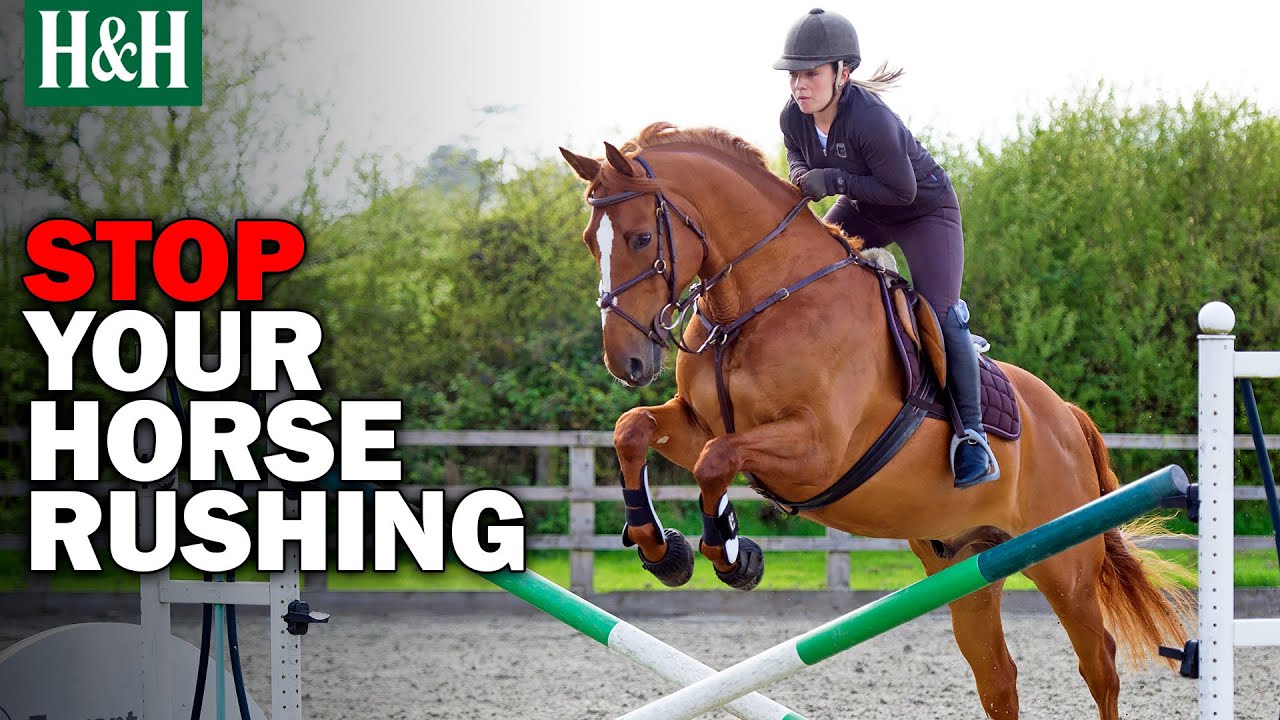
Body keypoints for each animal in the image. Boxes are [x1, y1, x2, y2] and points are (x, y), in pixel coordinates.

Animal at [559, 122, 1190, 720]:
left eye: (642, 238)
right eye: (591, 242)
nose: (626, 362)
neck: (754, 304)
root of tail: (1066, 416)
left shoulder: (815, 451)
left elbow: (717, 462)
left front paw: (734, 554)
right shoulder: (699, 425)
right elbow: (633, 429)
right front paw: (662, 550)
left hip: (1065, 565)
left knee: (1099, 664)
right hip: (966, 565)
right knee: (997, 676)